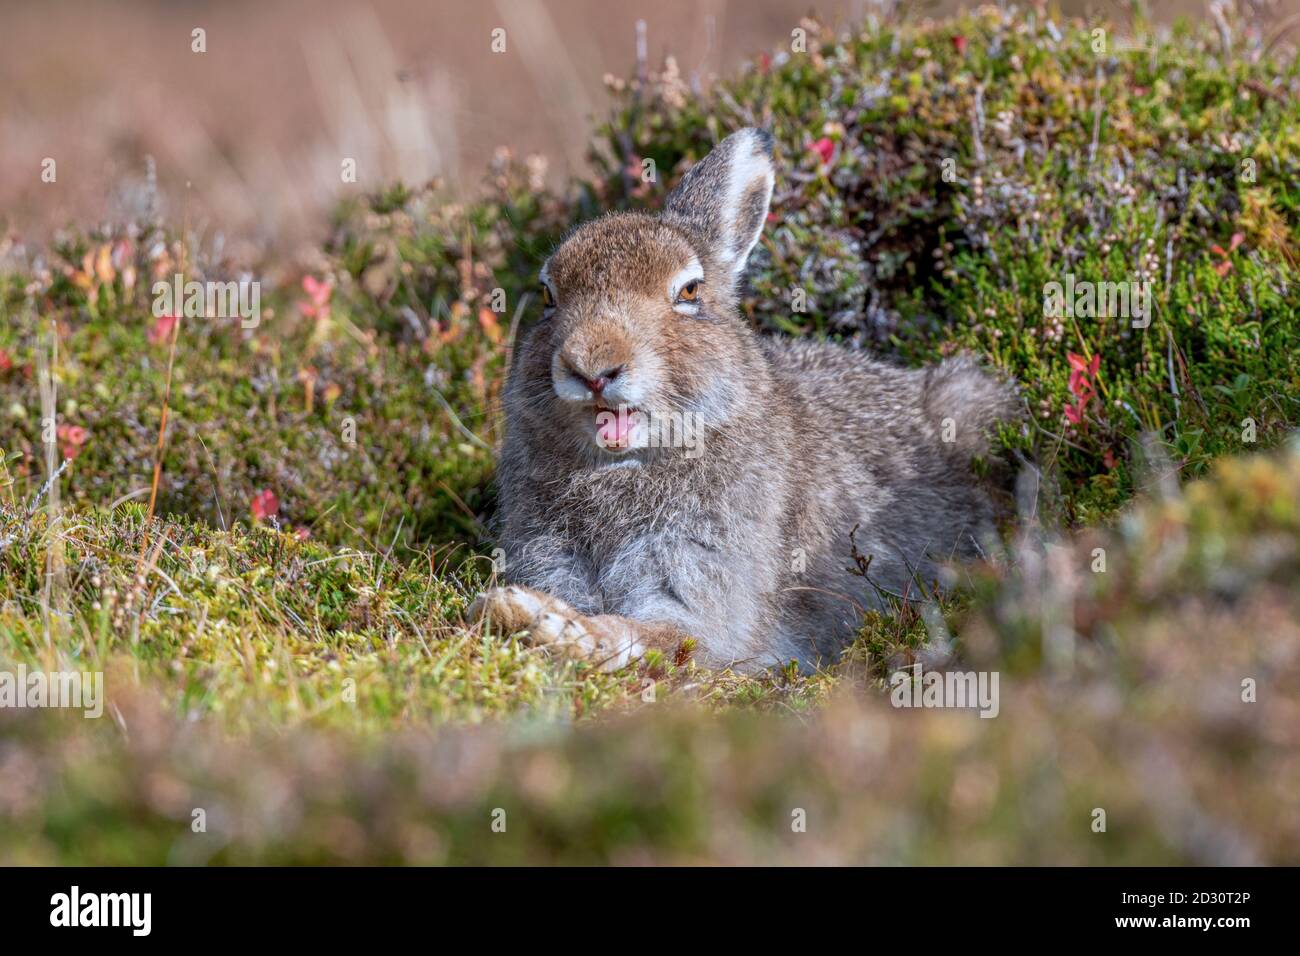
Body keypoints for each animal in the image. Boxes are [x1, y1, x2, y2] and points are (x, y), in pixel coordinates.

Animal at [469, 127, 1019, 673]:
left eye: (690, 291)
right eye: (548, 296)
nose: (592, 366)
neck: (622, 468)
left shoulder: (700, 592)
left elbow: (658, 637)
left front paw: (543, 621)